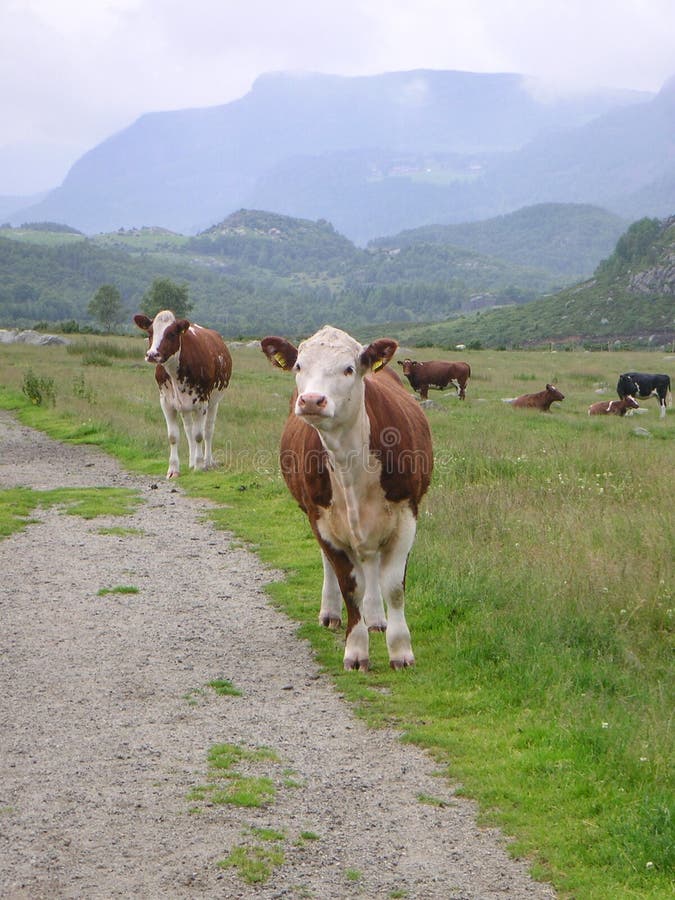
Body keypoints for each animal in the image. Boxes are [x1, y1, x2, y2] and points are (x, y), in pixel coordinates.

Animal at [133, 310, 232, 478]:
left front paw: (199, 466)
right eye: (150, 332)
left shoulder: (202, 403)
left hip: (214, 402)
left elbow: (199, 435)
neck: (174, 373)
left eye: (172, 334)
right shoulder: (166, 403)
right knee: (188, 430)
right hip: (184, 407)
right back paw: (191, 462)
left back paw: (207, 462)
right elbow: (174, 436)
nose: (152, 354)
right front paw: (174, 469)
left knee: (208, 431)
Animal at [261, 325, 433, 671]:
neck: (348, 460)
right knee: (337, 565)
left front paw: (401, 650)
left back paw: (377, 619)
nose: (312, 400)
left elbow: (394, 586)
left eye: (349, 369)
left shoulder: (406, 514)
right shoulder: (321, 519)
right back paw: (332, 613)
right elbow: (349, 585)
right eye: (299, 366)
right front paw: (355, 651)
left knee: (372, 564)